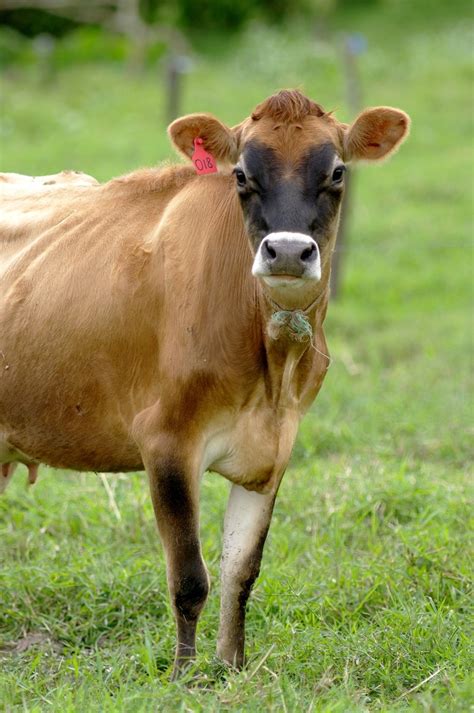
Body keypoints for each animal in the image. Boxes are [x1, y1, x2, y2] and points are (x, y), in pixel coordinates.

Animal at [0, 90, 410, 678]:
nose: (288, 252)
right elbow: (191, 578)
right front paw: (182, 676)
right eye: (240, 174)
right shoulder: (166, 441)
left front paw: (233, 667)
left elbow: (242, 572)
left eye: (336, 171)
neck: (271, 365)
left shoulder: (274, 451)